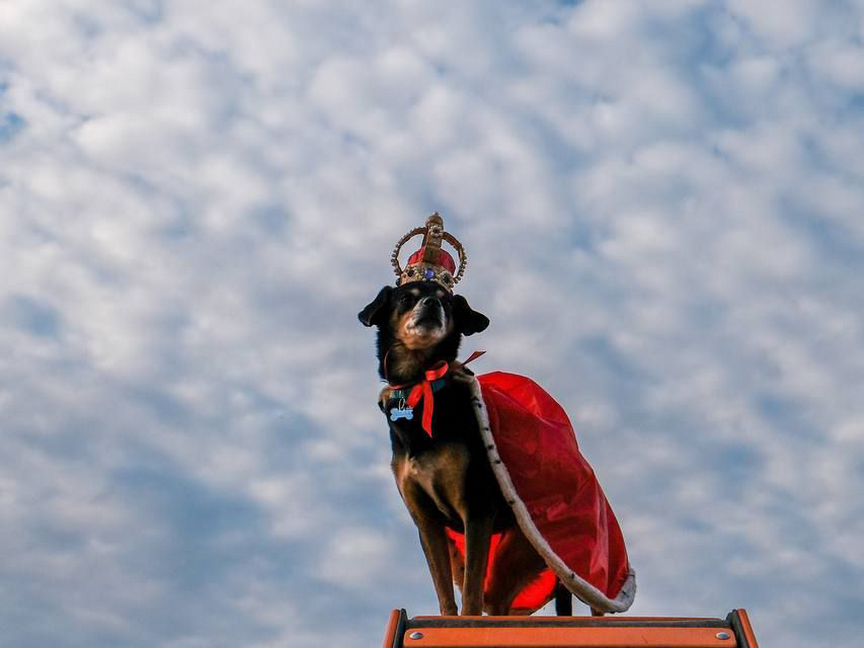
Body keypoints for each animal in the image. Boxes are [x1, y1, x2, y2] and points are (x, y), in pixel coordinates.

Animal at [356, 280, 552, 616]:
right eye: (406, 297)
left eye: (447, 302)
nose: (432, 303)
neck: (421, 386)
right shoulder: (427, 521)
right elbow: (444, 591)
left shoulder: (475, 509)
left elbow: (471, 595)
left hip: (518, 552)